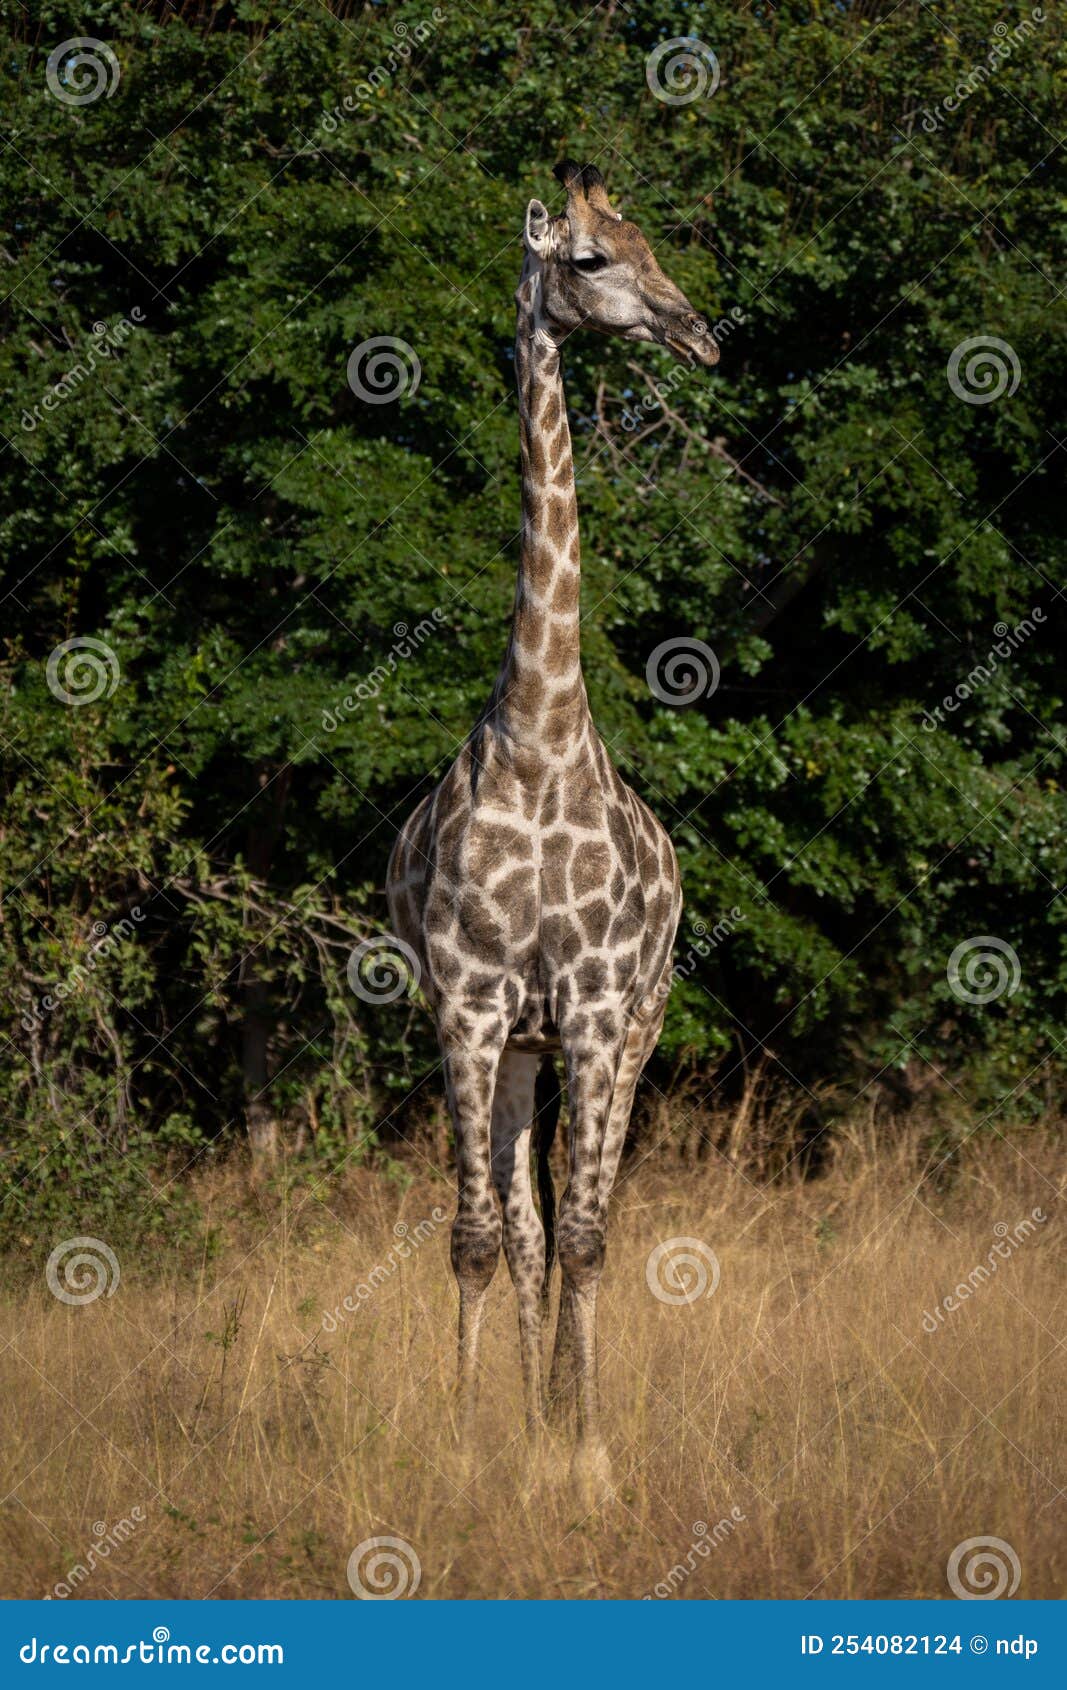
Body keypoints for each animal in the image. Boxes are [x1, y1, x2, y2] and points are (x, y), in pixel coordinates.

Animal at [387, 160, 719, 1474]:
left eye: (650, 241)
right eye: (587, 259)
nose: (698, 331)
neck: (538, 738)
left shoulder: (590, 1003)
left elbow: (583, 1232)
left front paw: (583, 1453)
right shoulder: (473, 1007)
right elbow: (483, 1235)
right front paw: (476, 1433)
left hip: (638, 1023)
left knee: (595, 1215)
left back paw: (571, 1409)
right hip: (527, 1045)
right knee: (528, 1225)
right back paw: (531, 1407)